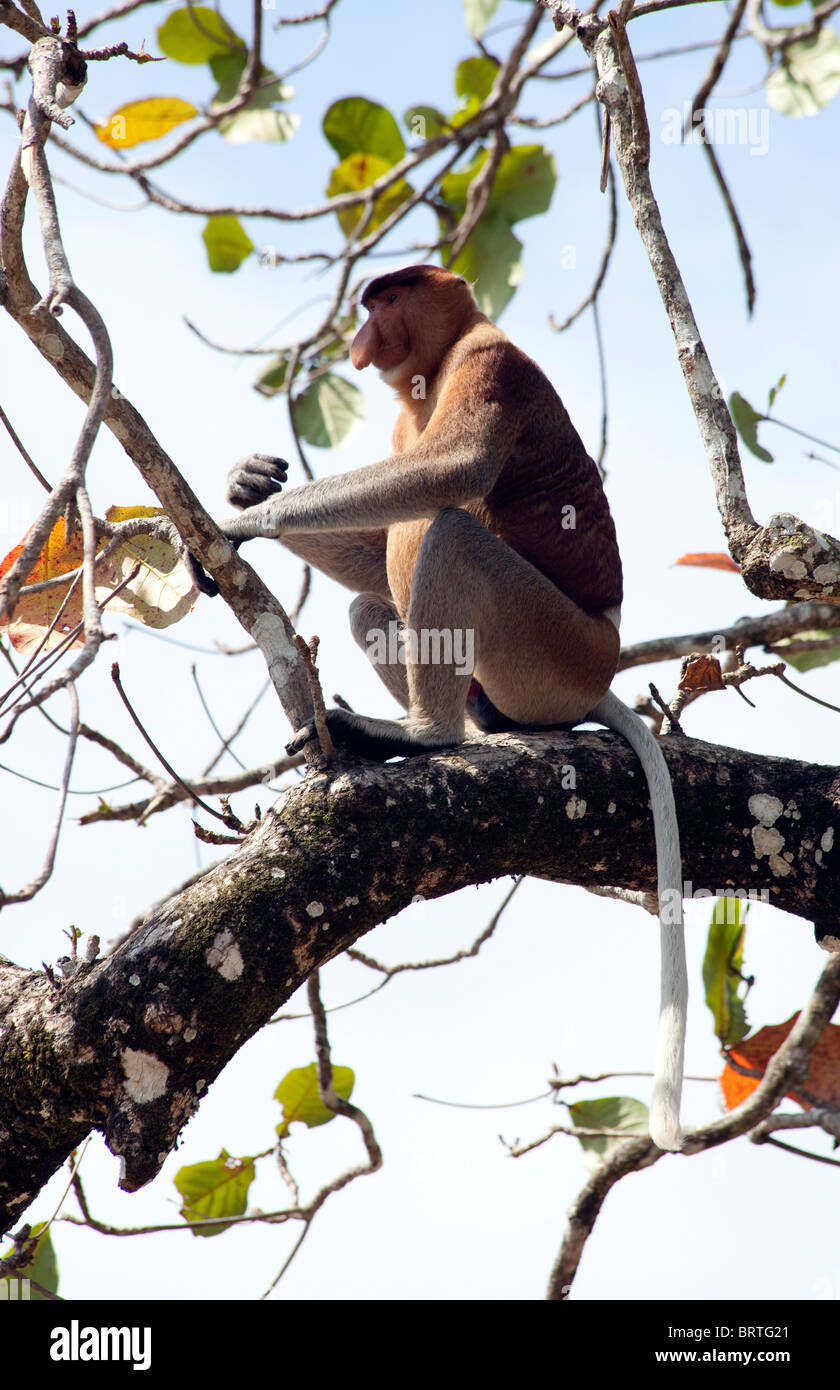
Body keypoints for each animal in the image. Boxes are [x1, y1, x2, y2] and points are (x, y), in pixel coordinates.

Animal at [191, 265, 686, 1151]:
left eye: (387, 297)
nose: (363, 334)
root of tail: (599, 666)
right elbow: (375, 549)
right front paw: (245, 484)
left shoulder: (490, 367)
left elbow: (451, 471)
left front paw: (242, 517)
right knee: (369, 604)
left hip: (550, 645)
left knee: (453, 529)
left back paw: (422, 736)